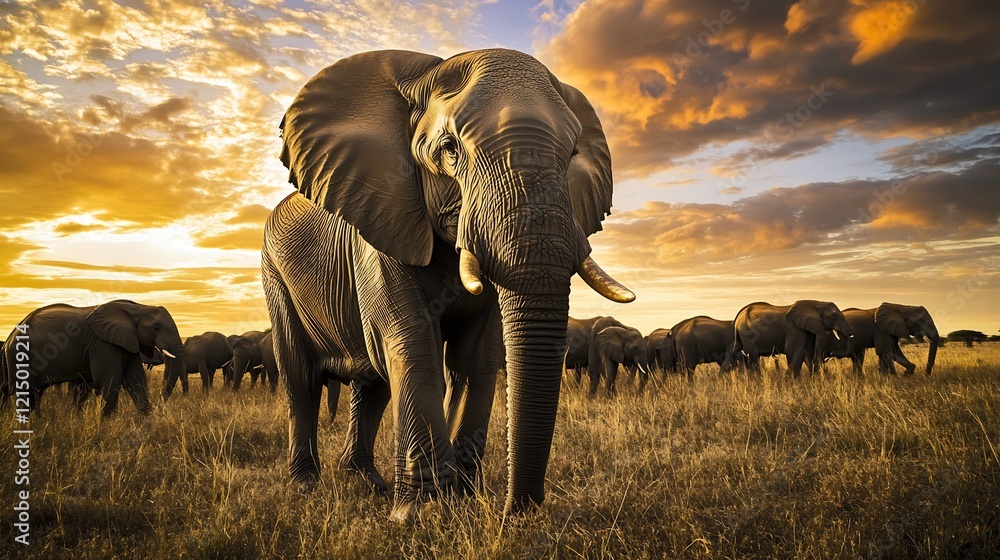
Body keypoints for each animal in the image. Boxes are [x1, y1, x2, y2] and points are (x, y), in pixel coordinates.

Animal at [1, 300, 184, 416]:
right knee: (26, 393)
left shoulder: (129, 343)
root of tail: (9, 338)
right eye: (156, 327)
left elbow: (135, 379)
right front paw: (105, 425)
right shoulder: (102, 344)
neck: (138, 308)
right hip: (20, 356)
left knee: (35, 394)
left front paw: (145, 423)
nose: (161, 405)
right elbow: (110, 380)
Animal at [262, 48, 633, 521]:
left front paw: (463, 503)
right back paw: (306, 486)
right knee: (301, 380)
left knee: (372, 381)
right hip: (274, 275)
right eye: (449, 150)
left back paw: (368, 482)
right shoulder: (383, 226)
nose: (515, 512)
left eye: (572, 154)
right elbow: (414, 349)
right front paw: (420, 517)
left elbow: (475, 359)